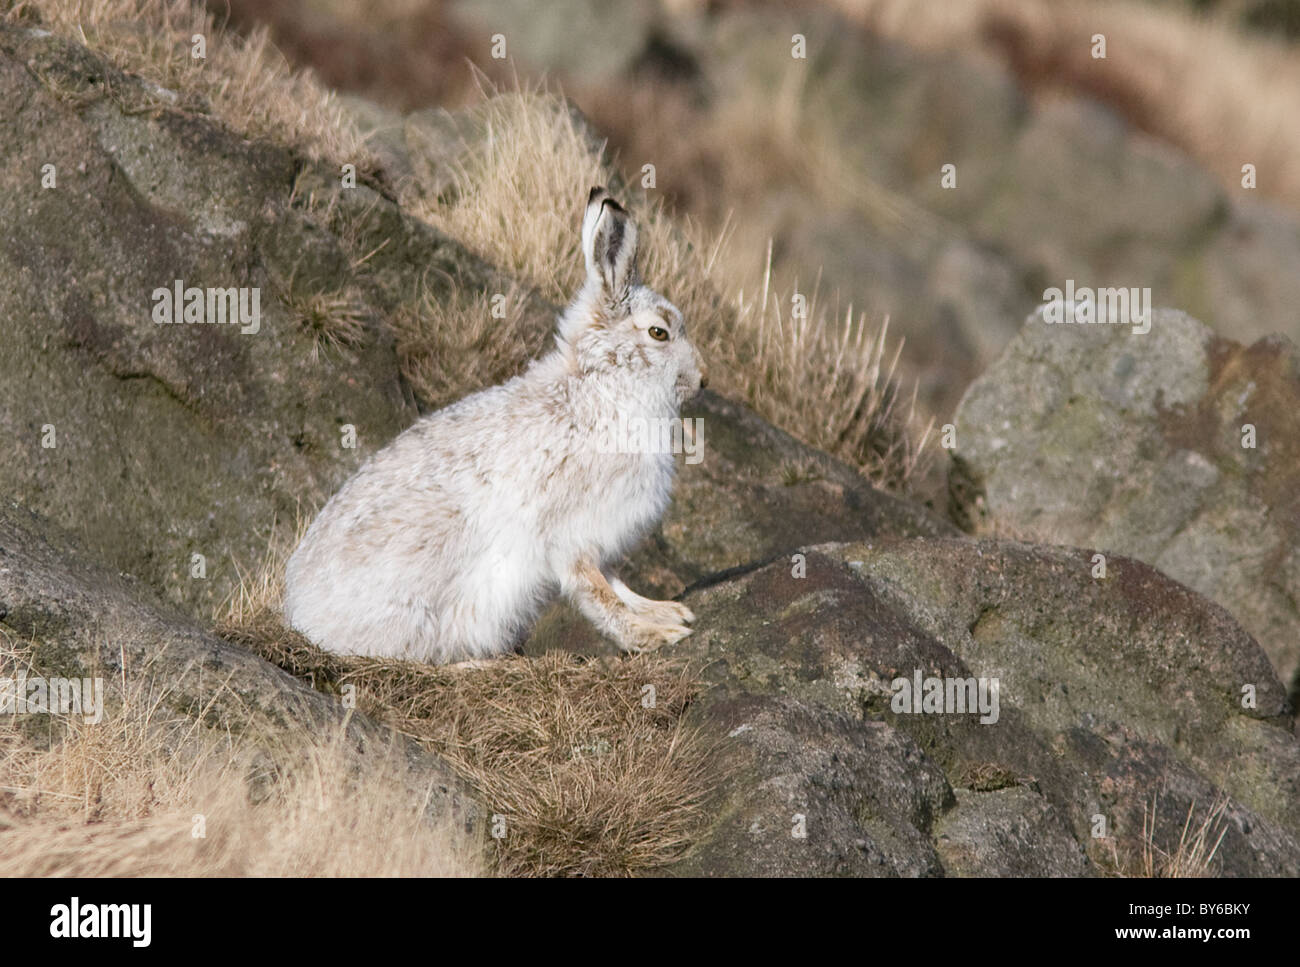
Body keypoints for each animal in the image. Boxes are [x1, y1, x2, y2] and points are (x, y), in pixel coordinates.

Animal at [283, 187, 708, 664]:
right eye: (658, 333)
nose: (703, 379)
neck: (599, 387)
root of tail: (304, 617)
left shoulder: (600, 538)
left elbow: (618, 584)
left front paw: (668, 612)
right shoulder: (571, 535)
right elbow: (596, 593)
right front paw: (655, 636)